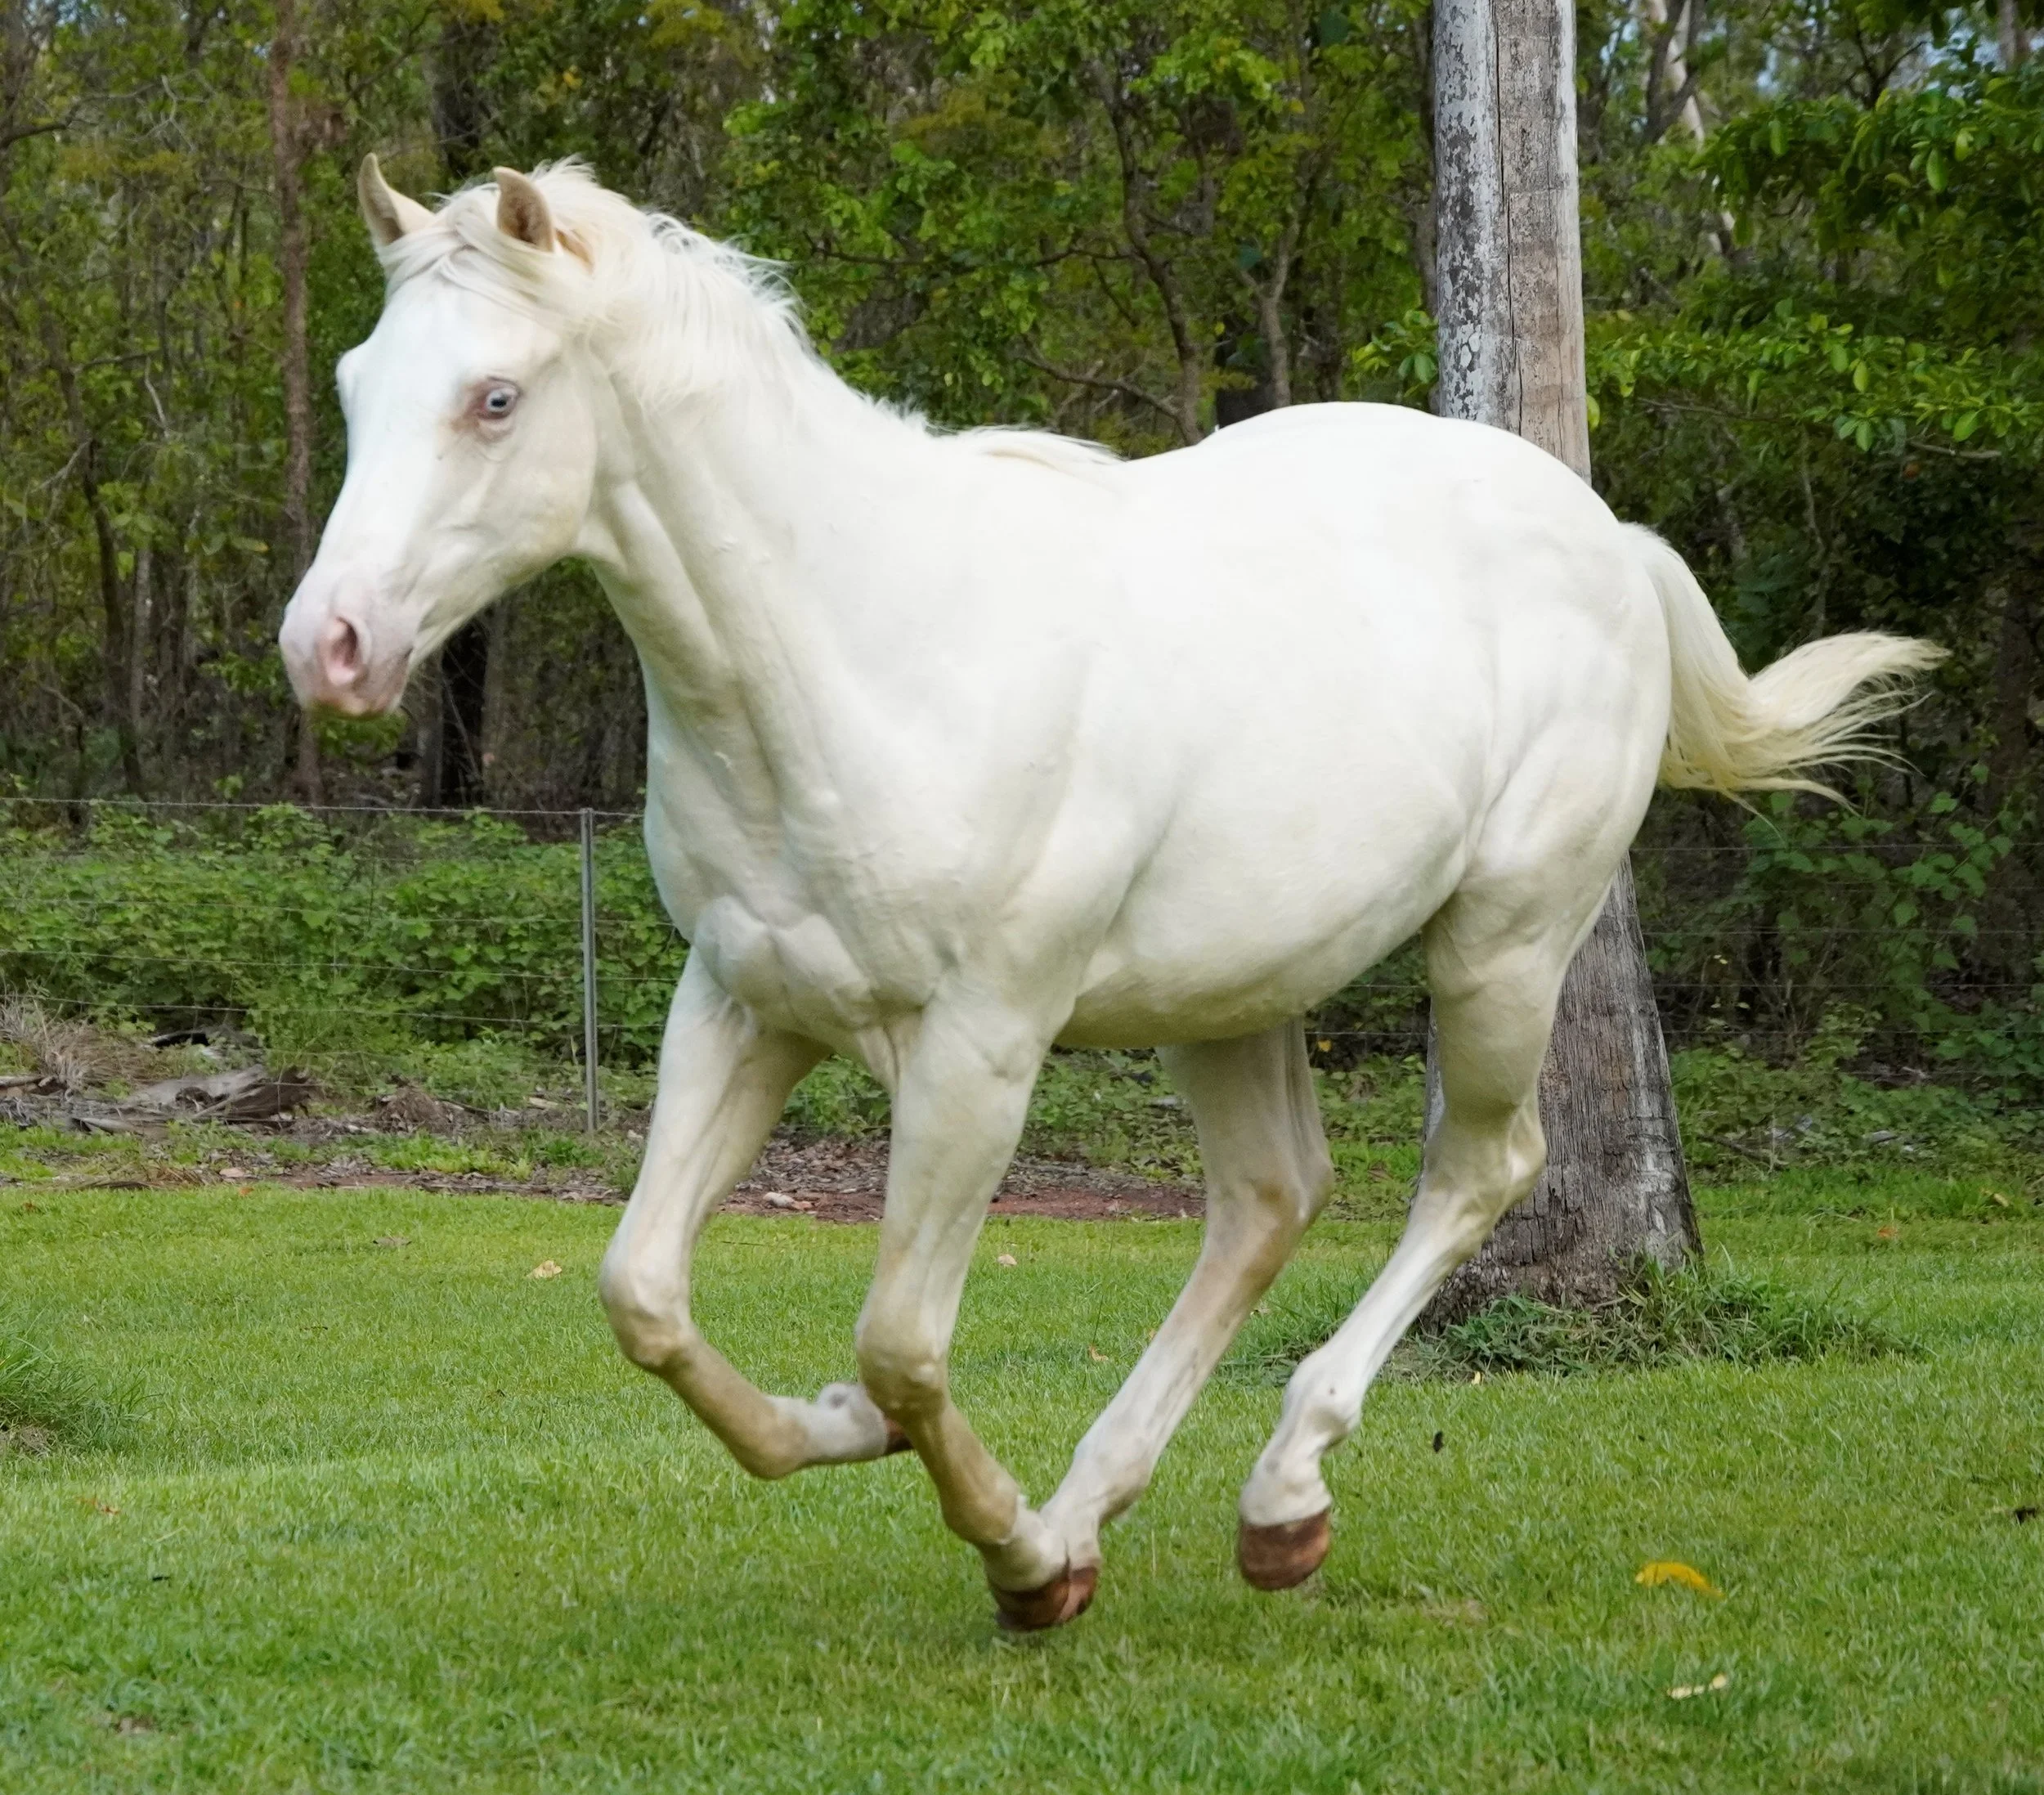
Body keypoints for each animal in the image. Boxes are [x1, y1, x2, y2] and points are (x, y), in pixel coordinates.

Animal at [280, 158, 1940, 1630]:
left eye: (497, 397)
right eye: (358, 384)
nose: (330, 648)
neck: (865, 648)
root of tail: (1611, 539)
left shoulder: (982, 1046)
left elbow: (903, 1341)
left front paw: (1007, 1550)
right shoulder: (748, 1003)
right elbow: (645, 1293)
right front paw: (844, 1434)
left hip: (1505, 945)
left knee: (1478, 1171)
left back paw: (1273, 1499)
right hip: (1235, 989)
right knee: (1269, 1202)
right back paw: (1118, 1511)